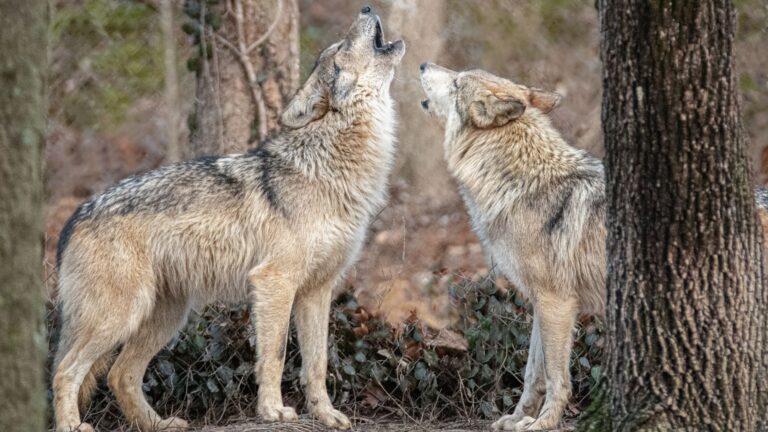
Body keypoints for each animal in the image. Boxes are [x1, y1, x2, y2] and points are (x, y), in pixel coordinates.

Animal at [52, 7, 404, 432]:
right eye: (339, 52)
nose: (365, 9)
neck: (332, 167)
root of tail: (75, 216)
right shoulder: (274, 282)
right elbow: (275, 356)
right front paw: (273, 411)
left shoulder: (317, 291)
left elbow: (317, 363)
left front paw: (326, 414)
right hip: (121, 316)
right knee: (66, 371)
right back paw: (72, 425)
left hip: (167, 317)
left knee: (120, 374)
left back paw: (159, 424)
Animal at [419, 64, 606, 431]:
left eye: (457, 82)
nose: (422, 65)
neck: (523, 183)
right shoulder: (540, 302)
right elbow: (533, 372)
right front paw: (519, 418)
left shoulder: (557, 301)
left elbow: (556, 376)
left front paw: (544, 423)